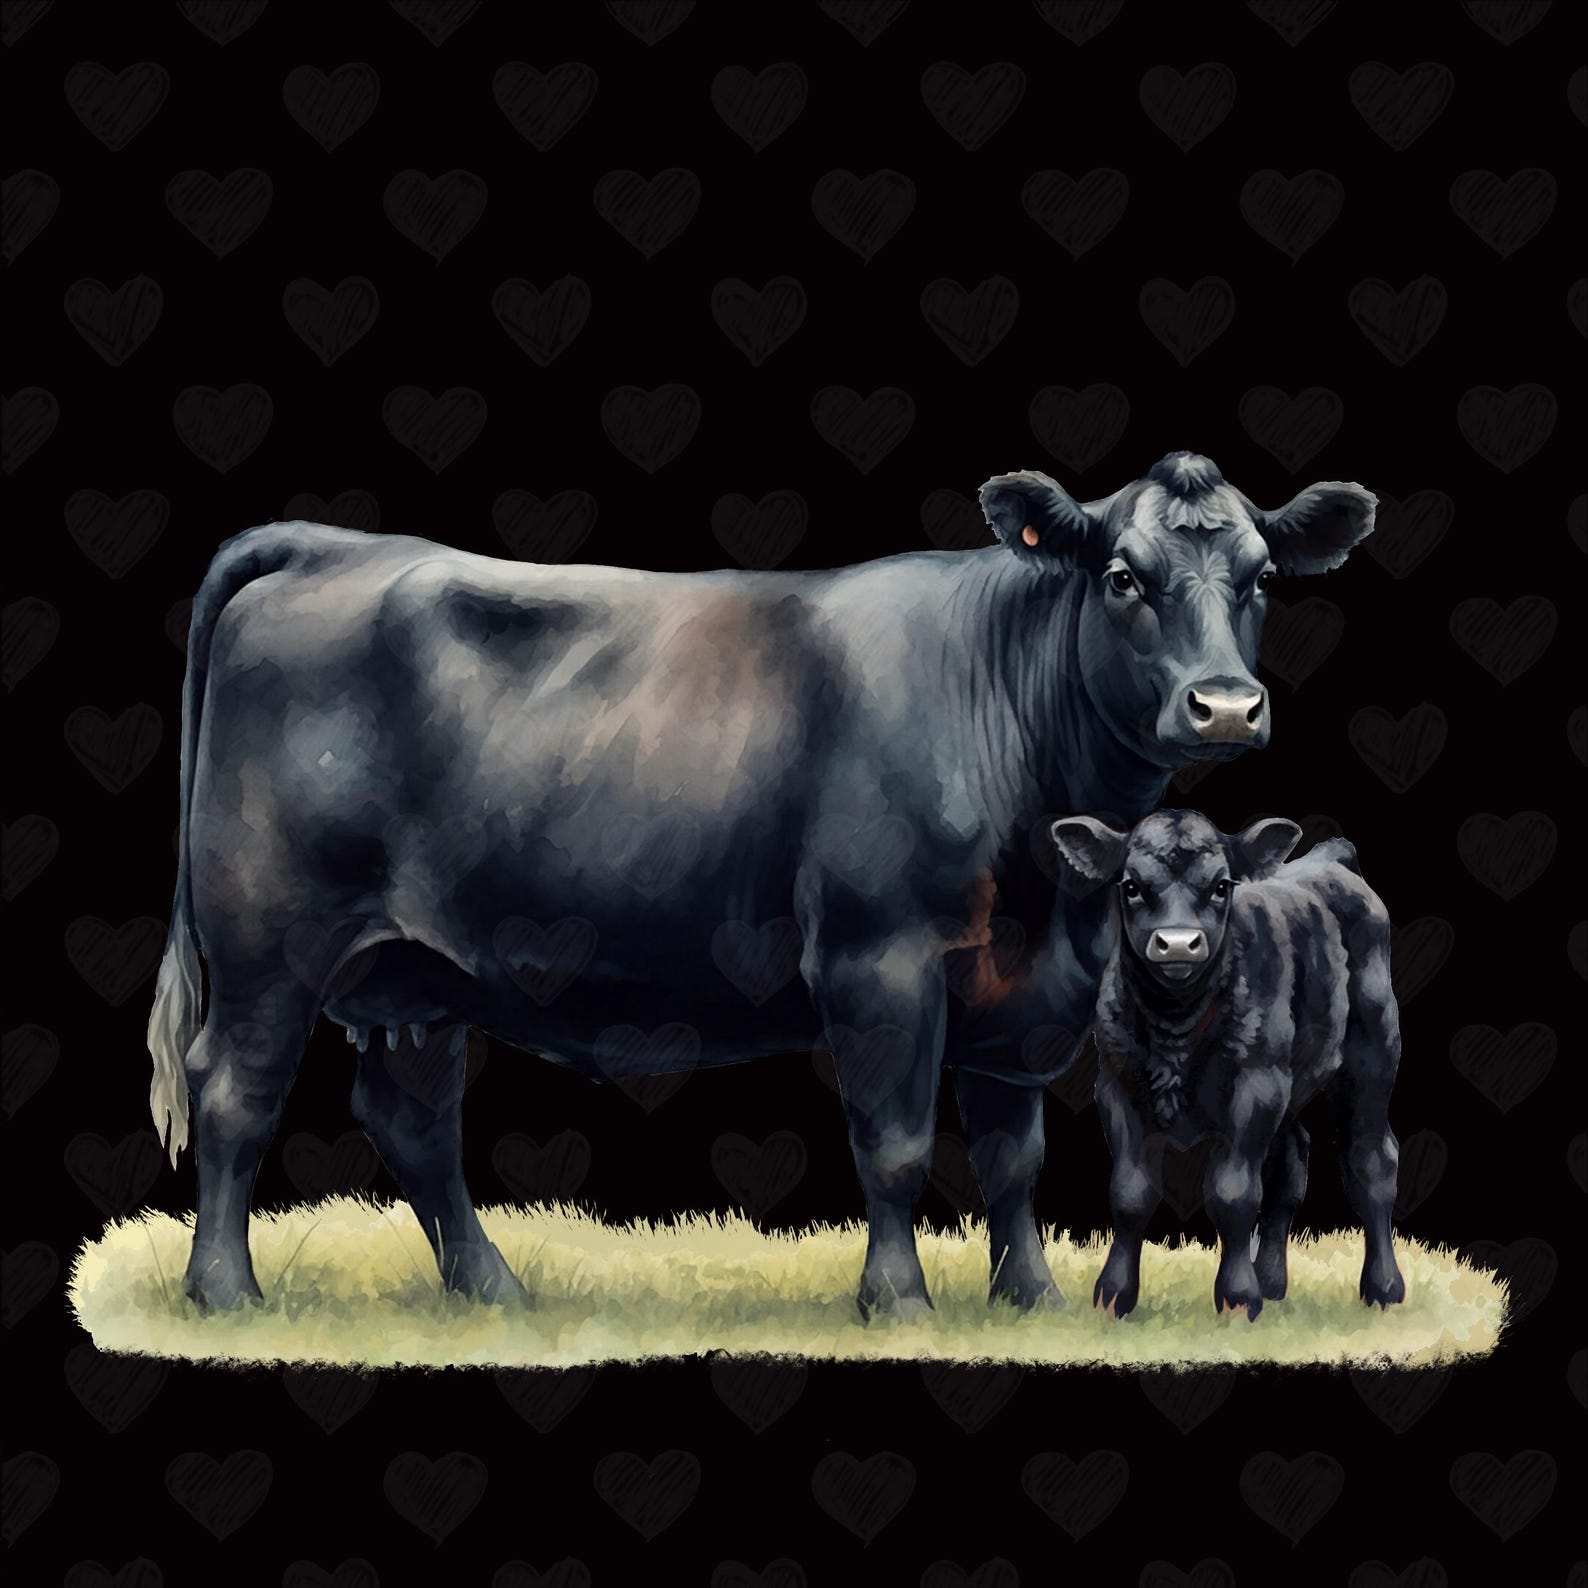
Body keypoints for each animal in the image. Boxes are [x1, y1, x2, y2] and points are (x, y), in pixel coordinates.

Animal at [1049, 807, 1406, 1322]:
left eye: (1221, 885)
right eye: (1131, 885)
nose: (1179, 944)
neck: (1176, 1027)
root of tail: (1328, 859)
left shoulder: (1255, 1085)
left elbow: (1232, 1191)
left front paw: (1237, 1299)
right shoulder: (1116, 1086)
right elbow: (1130, 1193)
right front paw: (1113, 1295)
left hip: (1371, 1053)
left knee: (1371, 1160)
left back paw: (1383, 1288)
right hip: (1290, 1083)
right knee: (1291, 1161)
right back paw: (1273, 1282)